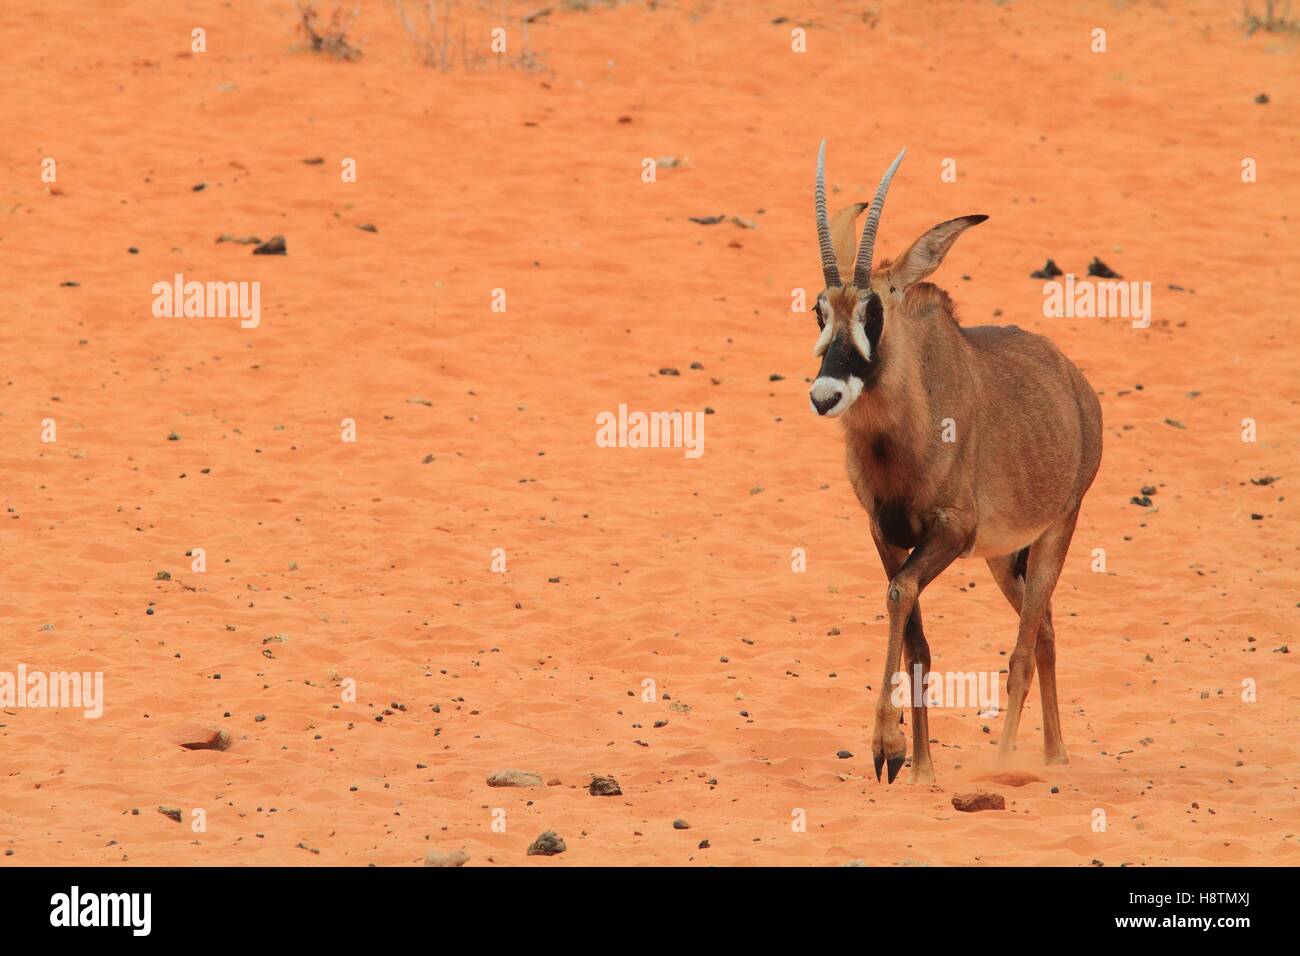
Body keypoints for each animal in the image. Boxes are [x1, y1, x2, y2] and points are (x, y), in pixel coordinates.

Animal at [808, 141, 1102, 785]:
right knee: (1044, 631)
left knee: (1024, 649)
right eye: (819, 310)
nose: (824, 395)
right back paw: (1054, 753)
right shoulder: (887, 534)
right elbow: (916, 640)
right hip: (1003, 558)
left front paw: (887, 747)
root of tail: (1076, 383)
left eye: (873, 310)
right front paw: (919, 768)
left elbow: (898, 595)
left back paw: (1005, 760)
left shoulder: (949, 531)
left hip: (1055, 533)